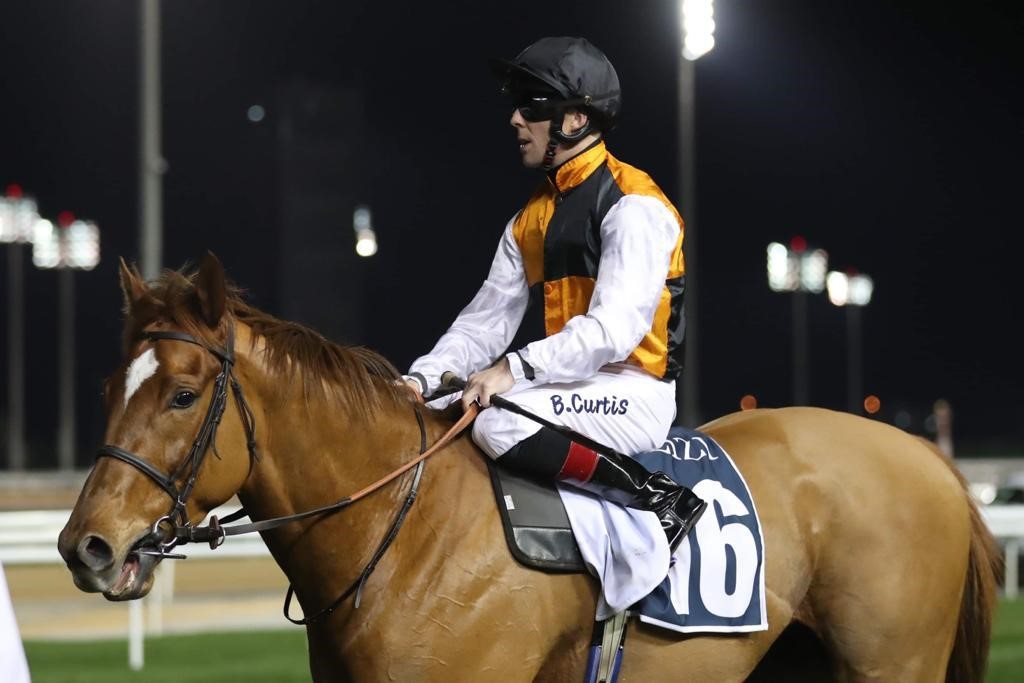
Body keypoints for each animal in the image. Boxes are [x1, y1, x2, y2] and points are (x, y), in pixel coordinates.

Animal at [59, 253, 1001, 682]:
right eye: (107, 385)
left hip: (892, 664)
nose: (86, 545)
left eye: (183, 394)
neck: (403, 536)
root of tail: (927, 455)